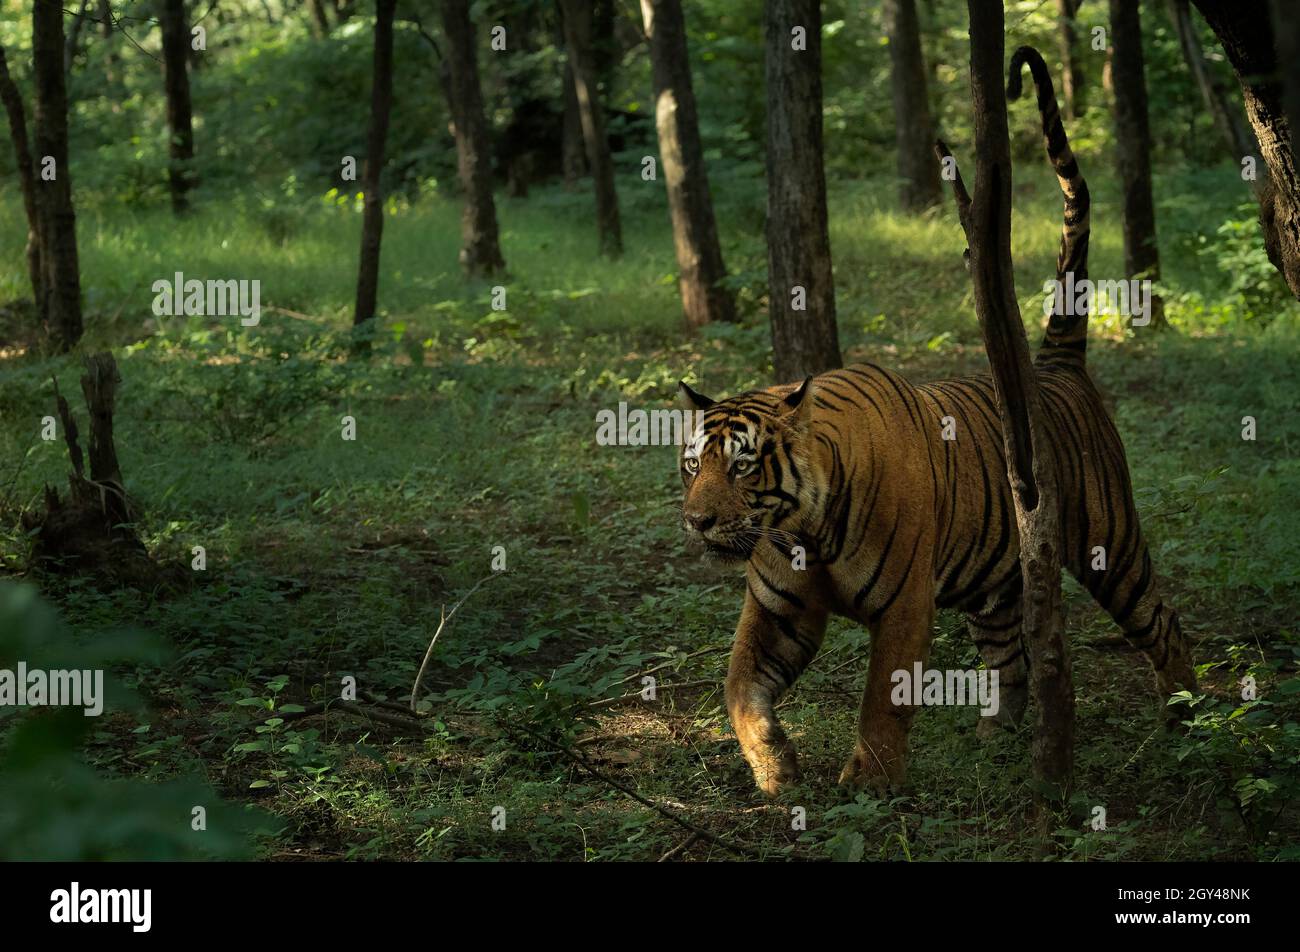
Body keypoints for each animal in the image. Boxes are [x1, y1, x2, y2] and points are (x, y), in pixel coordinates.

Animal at [676, 46, 1197, 797]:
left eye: (743, 467)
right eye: (693, 466)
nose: (697, 521)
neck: (802, 528)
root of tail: (1056, 367)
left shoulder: (903, 605)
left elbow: (883, 698)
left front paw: (868, 782)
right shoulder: (776, 610)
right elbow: (740, 685)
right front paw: (776, 768)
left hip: (1111, 544)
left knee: (1161, 620)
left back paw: (1186, 726)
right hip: (996, 581)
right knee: (1010, 656)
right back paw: (993, 744)